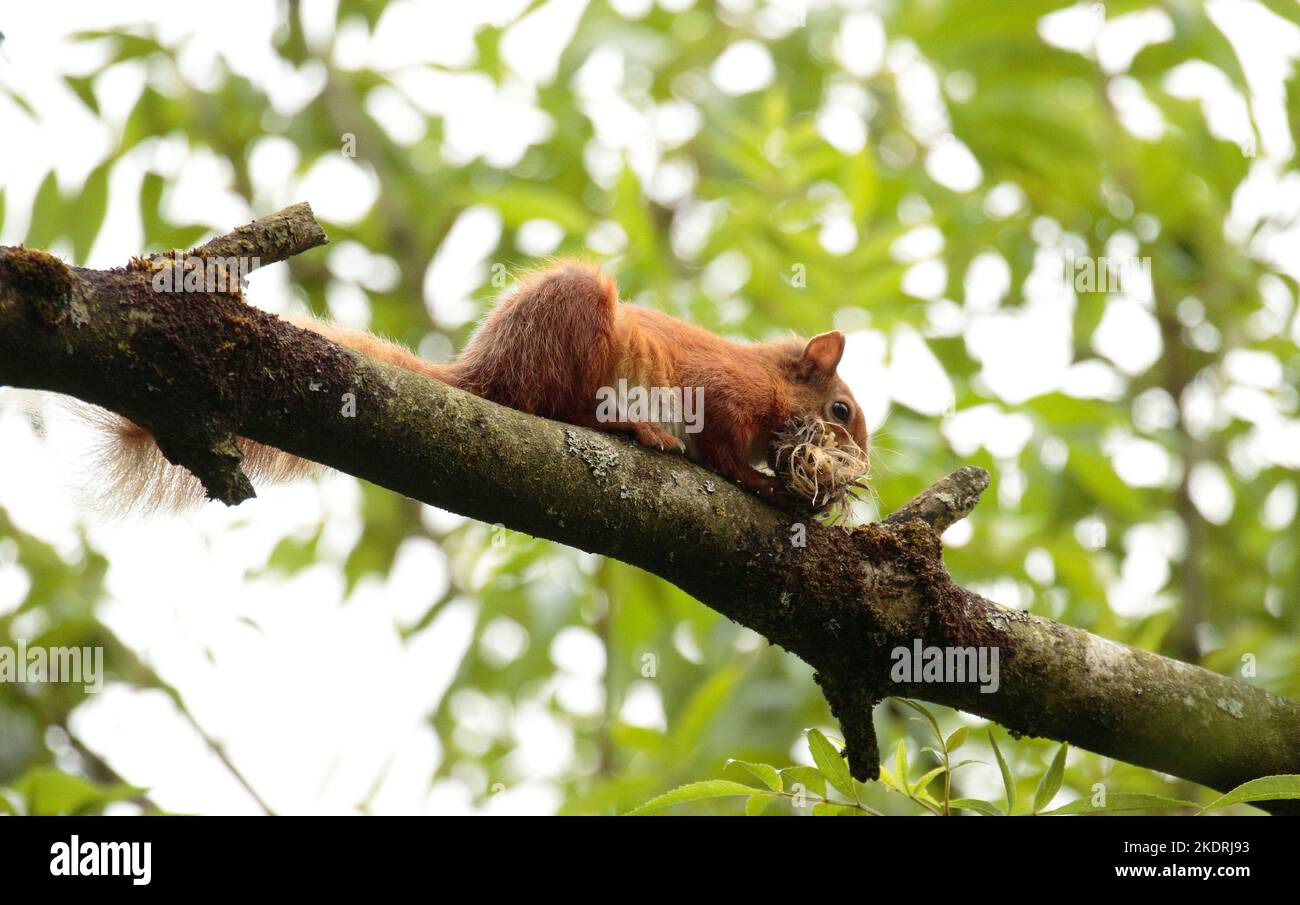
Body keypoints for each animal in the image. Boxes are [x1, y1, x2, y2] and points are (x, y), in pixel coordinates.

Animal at [100, 260, 868, 512]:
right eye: (841, 408)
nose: (861, 469)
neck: (767, 375)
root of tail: (483, 367)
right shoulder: (722, 391)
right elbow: (725, 453)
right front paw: (770, 485)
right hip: (572, 331)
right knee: (551, 407)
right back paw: (630, 426)